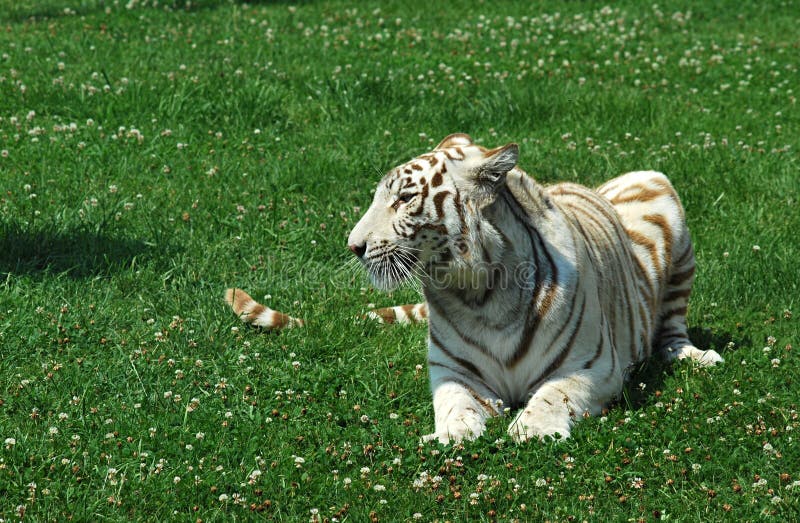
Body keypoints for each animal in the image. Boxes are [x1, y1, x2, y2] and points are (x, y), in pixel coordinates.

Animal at [227, 133, 722, 444]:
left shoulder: (593, 365)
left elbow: (554, 395)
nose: (354, 246)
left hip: (658, 186)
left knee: (672, 330)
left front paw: (532, 430)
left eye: (404, 198)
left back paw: (695, 356)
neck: (480, 294)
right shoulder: (453, 372)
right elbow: (453, 404)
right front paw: (455, 433)